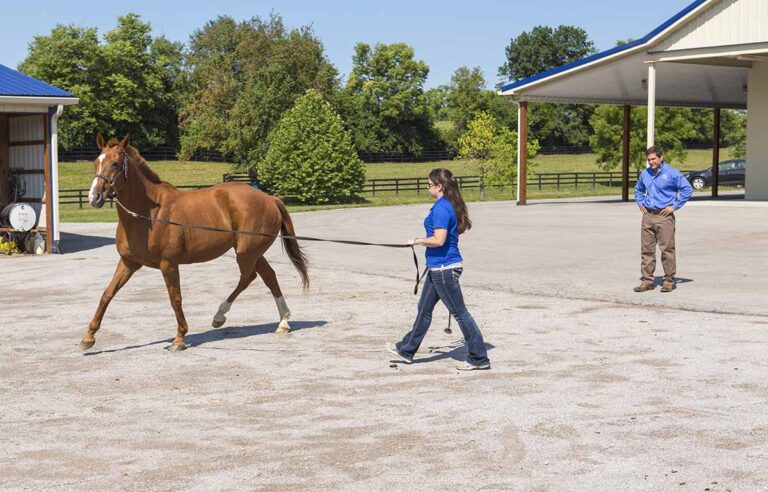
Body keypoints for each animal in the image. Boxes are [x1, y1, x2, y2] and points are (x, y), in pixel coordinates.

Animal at [80, 135, 309, 351]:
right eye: (96, 162)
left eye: (115, 164)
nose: (94, 197)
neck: (149, 215)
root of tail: (270, 198)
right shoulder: (128, 263)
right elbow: (107, 295)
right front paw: (88, 337)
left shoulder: (168, 264)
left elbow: (175, 299)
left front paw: (180, 338)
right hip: (252, 252)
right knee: (269, 276)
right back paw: (283, 322)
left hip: (246, 253)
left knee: (248, 277)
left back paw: (219, 316)